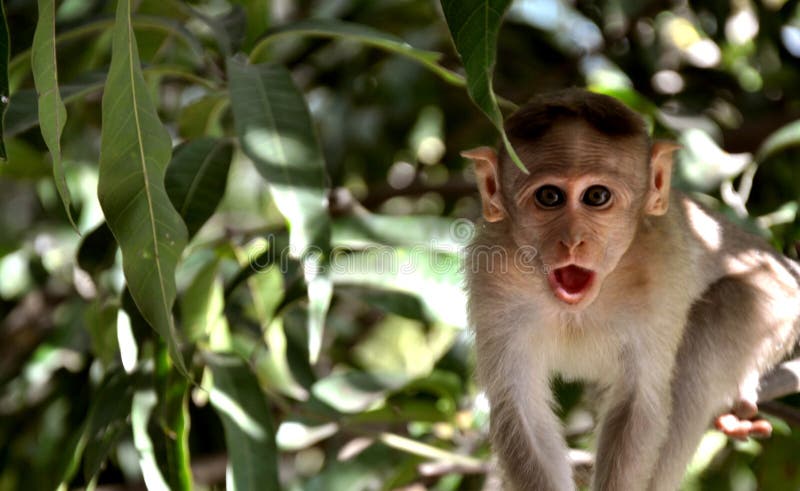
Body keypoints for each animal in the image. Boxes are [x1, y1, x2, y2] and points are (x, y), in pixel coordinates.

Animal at [462, 88, 800, 491]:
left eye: (596, 196)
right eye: (549, 196)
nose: (573, 241)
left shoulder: (661, 269)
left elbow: (641, 403)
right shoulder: (491, 277)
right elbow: (519, 407)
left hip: (780, 306)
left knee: (705, 340)